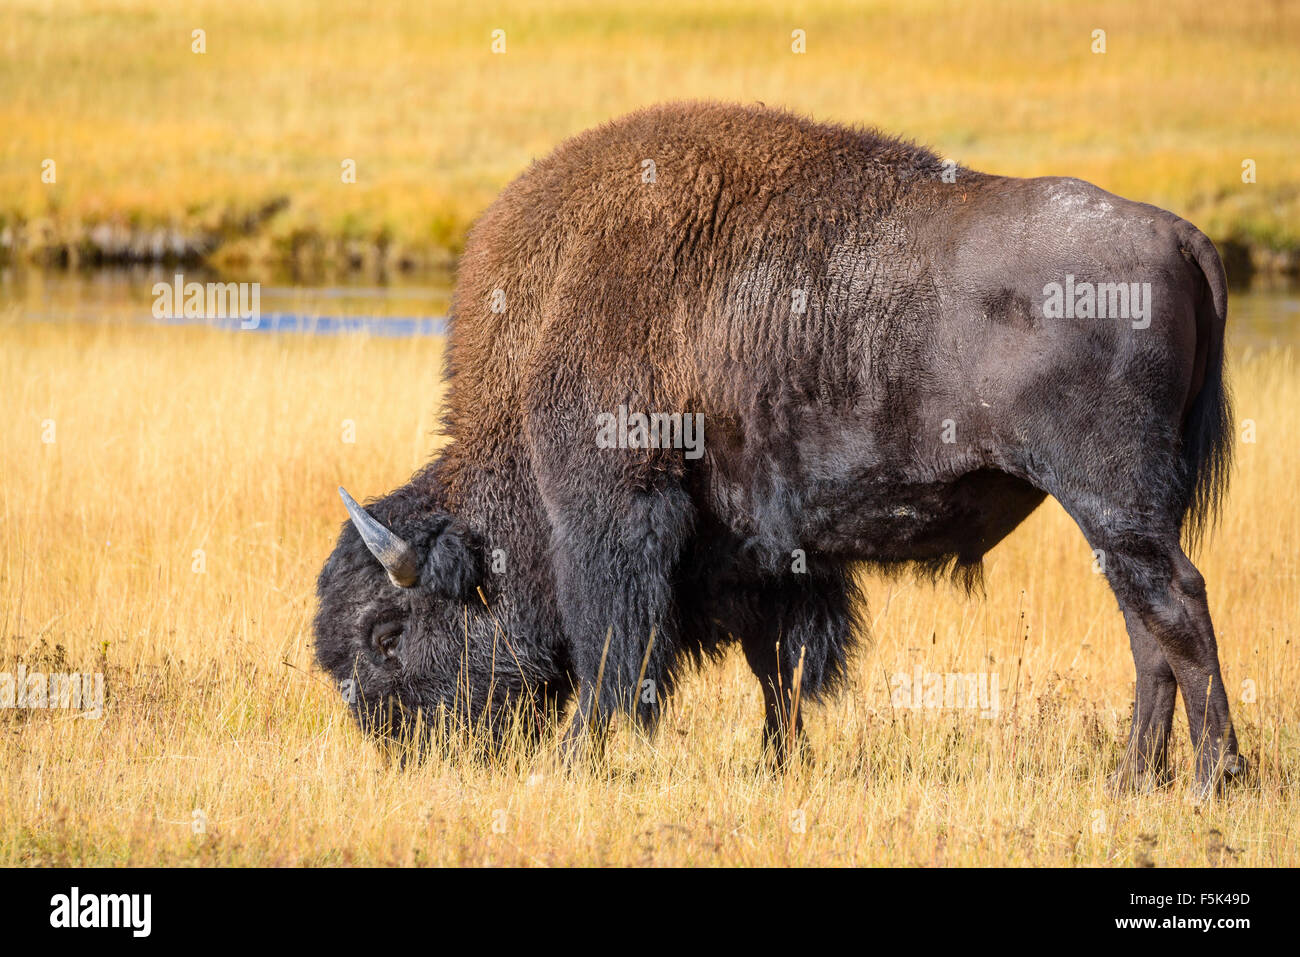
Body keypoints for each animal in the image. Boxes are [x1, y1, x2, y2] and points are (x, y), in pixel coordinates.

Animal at [314, 101, 1244, 794]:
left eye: (388, 634)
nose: (399, 749)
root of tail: (1176, 235)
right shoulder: (760, 551)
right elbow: (780, 666)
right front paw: (777, 762)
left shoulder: (615, 515)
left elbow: (615, 642)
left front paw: (578, 756)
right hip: (1118, 516)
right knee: (1147, 627)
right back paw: (1137, 777)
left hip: (1111, 498)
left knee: (1176, 608)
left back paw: (1212, 777)